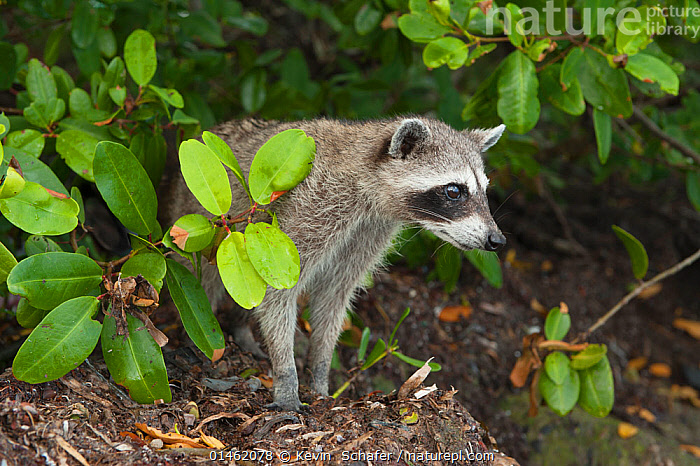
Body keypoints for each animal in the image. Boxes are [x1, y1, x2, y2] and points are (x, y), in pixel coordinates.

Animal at [162, 117, 506, 411]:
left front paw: (320, 371)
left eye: (485, 191)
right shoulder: (313, 207)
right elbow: (279, 289)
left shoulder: (369, 232)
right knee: (206, 278)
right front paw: (286, 376)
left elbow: (334, 296)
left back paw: (239, 325)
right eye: (454, 191)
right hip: (200, 220)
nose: (497, 240)